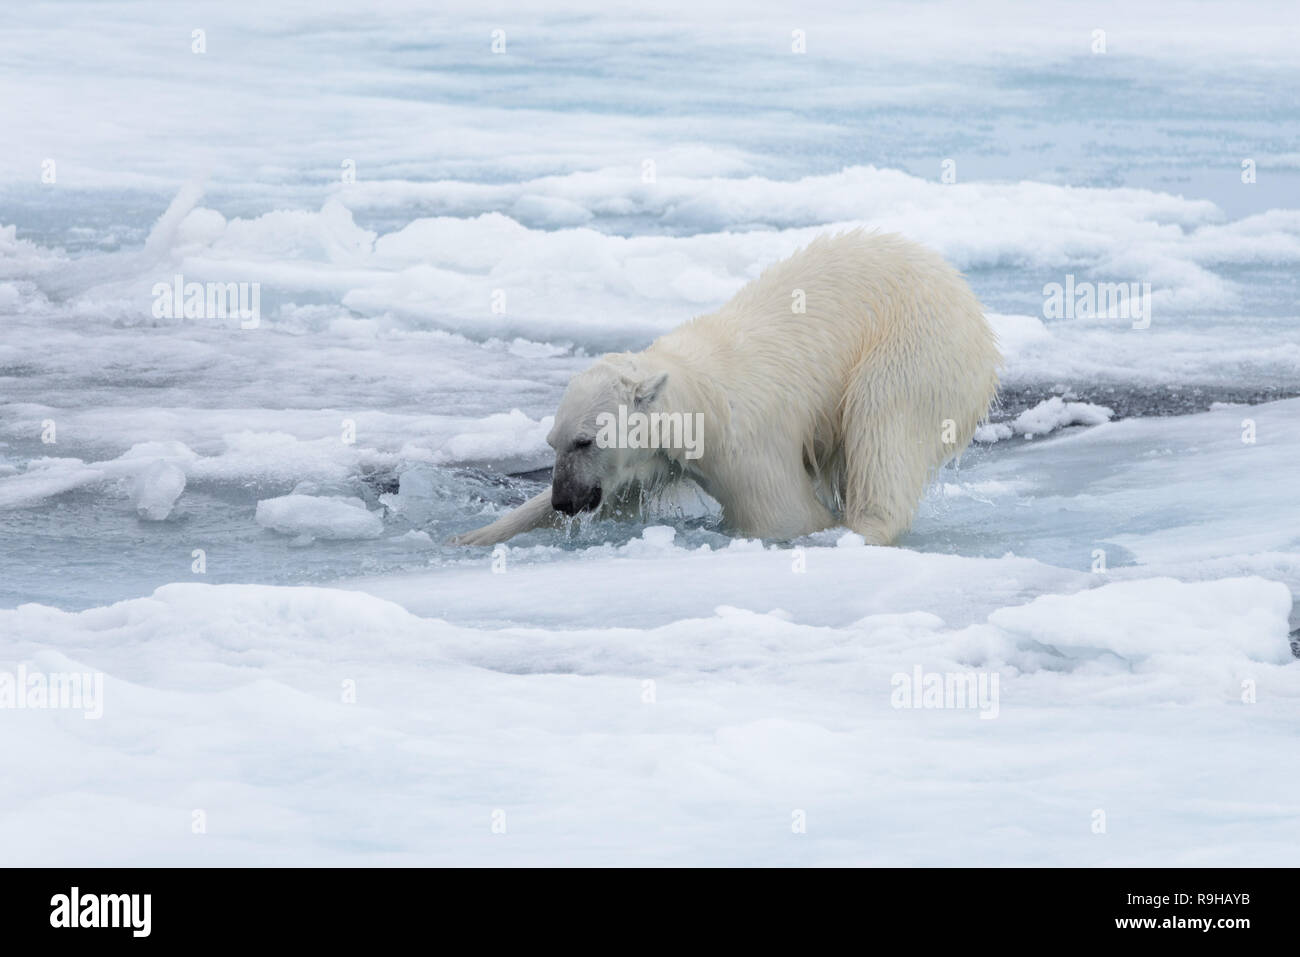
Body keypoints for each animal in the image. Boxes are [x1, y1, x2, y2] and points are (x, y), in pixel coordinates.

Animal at [452, 229, 1001, 546]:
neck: (697, 401)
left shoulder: (744, 449)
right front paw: (472, 536)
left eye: (586, 440)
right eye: (553, 442)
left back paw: (862, 530)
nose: (566, 500)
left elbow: (786, 516)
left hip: (917, 348)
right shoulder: (655, 457)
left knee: (883, 430)